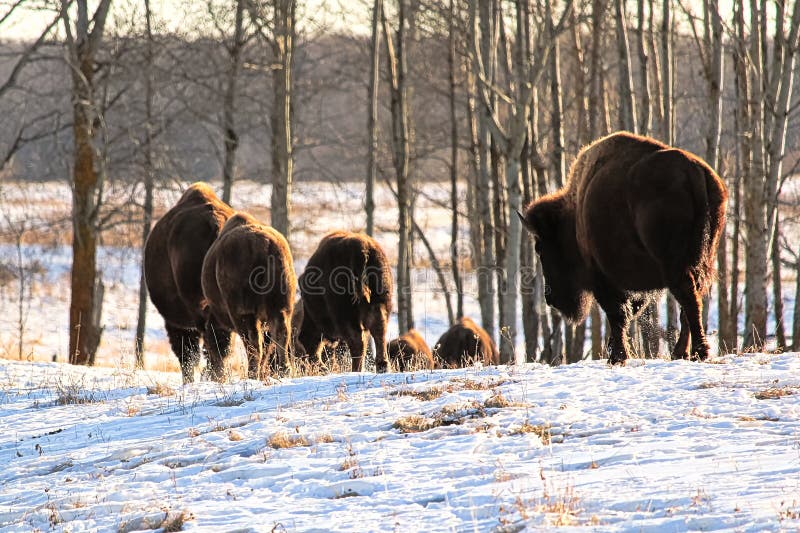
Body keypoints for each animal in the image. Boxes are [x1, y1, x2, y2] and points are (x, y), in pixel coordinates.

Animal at [201, 212, 296, 379]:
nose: (213, 372)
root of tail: (266, 246)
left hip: (244, 311)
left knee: (253, 343)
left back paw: (252, 373)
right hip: (282, 305)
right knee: (281, 334)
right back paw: (284, 370)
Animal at [296, 231, 392, 372]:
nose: (302, 337)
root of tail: (362, 250)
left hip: (345, 314)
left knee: (357, 340)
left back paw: (356, 370)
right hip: (380, 302)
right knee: (379, 331)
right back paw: (382, 366)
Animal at [520, 131, 727, 364]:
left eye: (540, 248)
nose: (549, 298)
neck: (573, 216)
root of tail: (693, 171)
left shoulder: (600, 275)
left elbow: (617, 313)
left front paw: (617, 356)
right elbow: (628, 312)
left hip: (673, 264)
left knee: (688, 299)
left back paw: (697, 352)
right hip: (702, 258)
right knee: (691, 302)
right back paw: (682, 353)